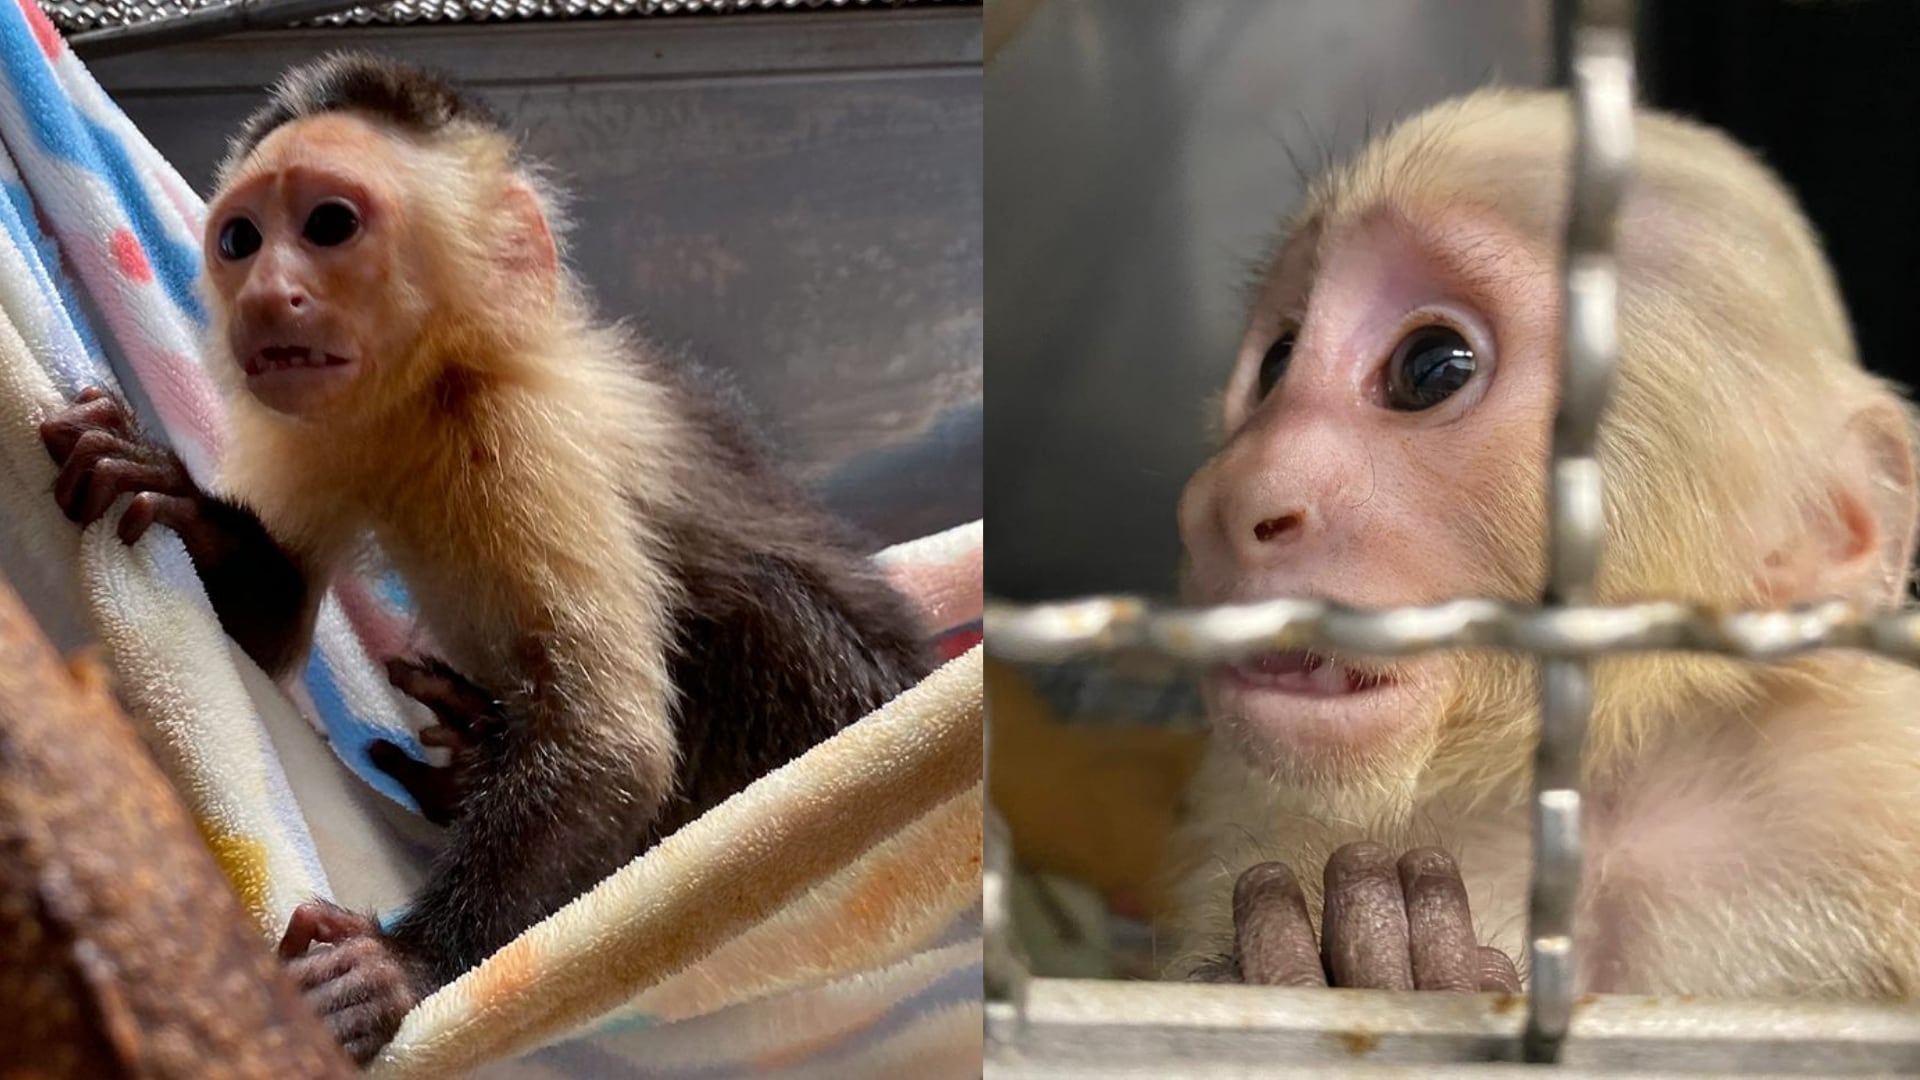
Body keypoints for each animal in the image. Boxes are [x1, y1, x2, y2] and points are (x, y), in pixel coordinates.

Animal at [38, 52, 932, 1063]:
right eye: (239, 239)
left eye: (328, 225)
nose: (265, 295)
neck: (430, 395)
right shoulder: (306, 417)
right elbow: (270, 635)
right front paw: (184, 509)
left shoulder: (524, 433)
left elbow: (609, 746)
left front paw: (406, 969)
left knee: (750, 609)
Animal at [1164, 86, 1920, 997]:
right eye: (1276, 362)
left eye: (1434, 367)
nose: (1228, 498)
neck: (1597, 794)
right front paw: (1365, 968)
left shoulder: (1865, 783)